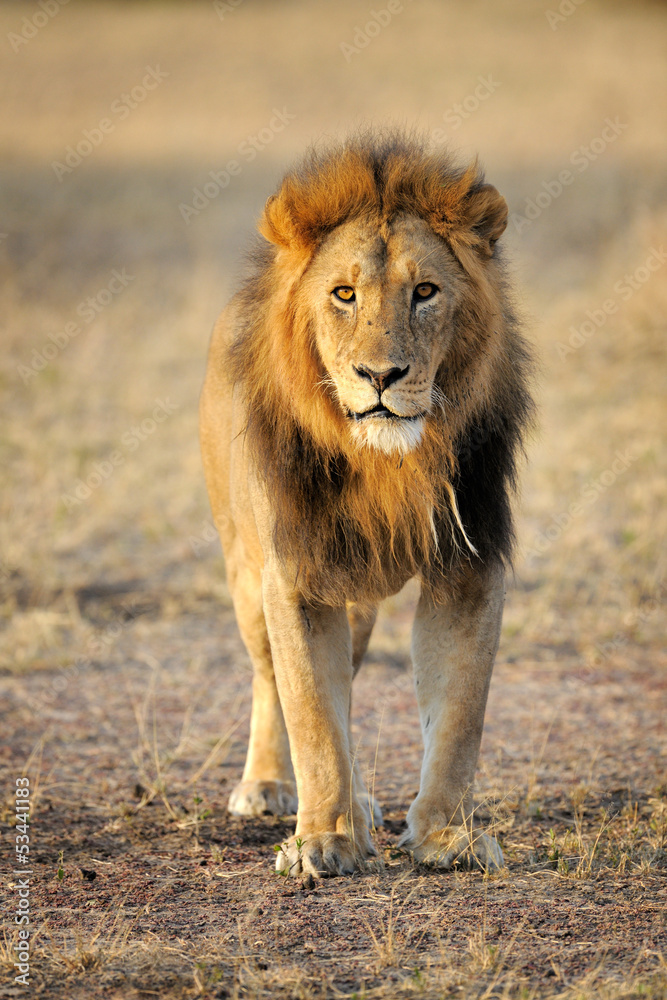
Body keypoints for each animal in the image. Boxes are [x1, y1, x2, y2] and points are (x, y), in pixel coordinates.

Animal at [200, 131, 533, 877]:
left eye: (426, 292)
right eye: (344, 294)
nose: (381, 376)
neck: (389, 465)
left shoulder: (468, 565)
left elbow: (459, 712)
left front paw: (445, 835)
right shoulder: (294, 574)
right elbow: (312, 716)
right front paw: (323, 839)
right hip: (245, 571)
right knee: (270, 679)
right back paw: (272, 785)